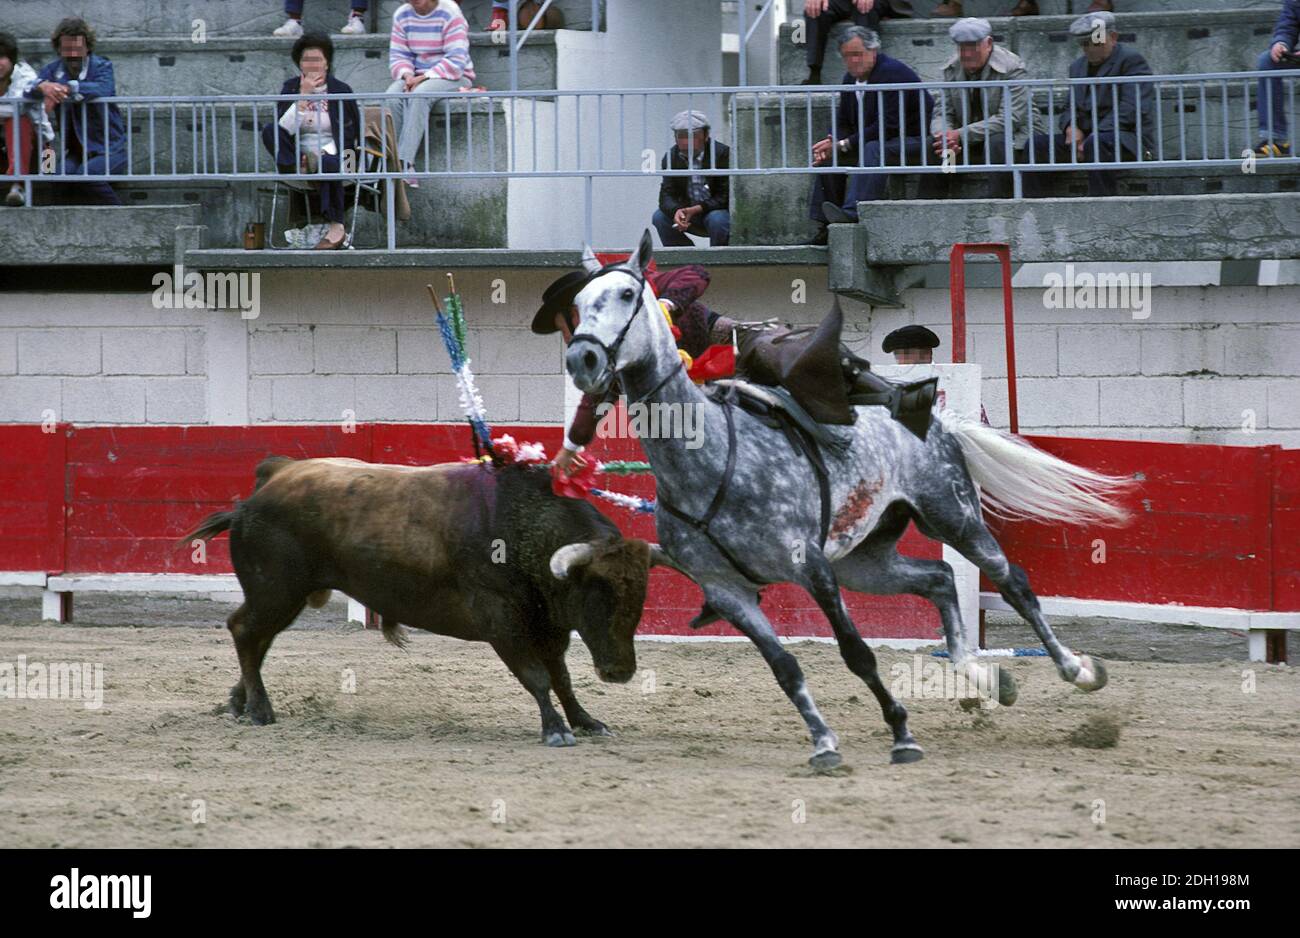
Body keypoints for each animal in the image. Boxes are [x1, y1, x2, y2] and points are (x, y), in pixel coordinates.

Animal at [564, 230, 1134, 769]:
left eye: (627, 293)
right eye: (579, 301)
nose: (582, 358)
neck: (710, 458)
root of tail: (937, 418)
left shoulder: (812, 568)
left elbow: (857, 653)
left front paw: (902, 735)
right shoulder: (728, 591)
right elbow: (785, 667)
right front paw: (823, 743)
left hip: (952, 517)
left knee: (1012, 581)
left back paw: (1077, 669)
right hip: (865, 560)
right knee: (939, 578)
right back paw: (984, 677)